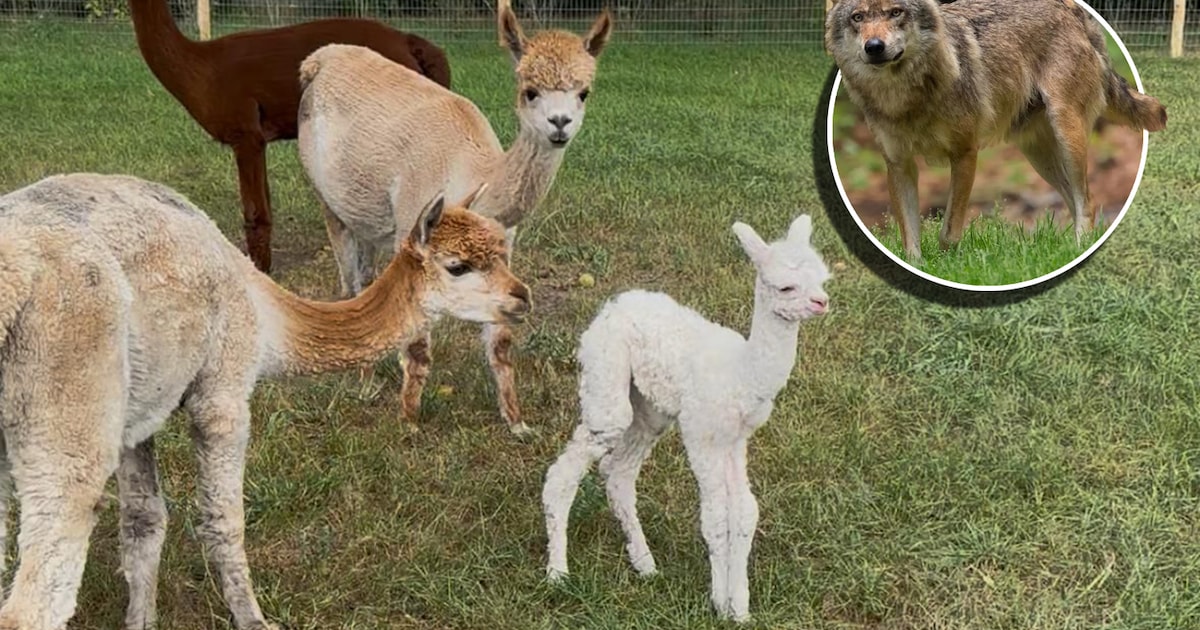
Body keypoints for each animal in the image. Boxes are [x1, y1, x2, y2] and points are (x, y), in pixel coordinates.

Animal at [825, 0, 1167, 261]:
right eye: (858, 17)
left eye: (896, 12)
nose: (874, 47)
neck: (905, 99)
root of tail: (1074, 11)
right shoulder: (899, 165)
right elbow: (910, 240)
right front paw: (919, 269)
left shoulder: (965, 154)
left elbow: (949, 231)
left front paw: (949, 269)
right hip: (1040, 158)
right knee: (1075, 200)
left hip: (1066, 135)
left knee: (1089, 201)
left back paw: (1078, 248)